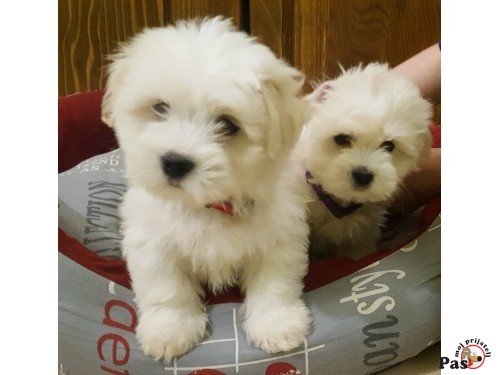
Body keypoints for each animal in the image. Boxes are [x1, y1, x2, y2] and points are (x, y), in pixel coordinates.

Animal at [101, 16, 312, 362]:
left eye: (227, 124)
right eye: (160, 107)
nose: (175, 162)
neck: (205, 204)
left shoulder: (280, 234)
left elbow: (275, 282)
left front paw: (277, 326)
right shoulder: (151, 239)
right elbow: (166, 286)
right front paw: (168, 330)